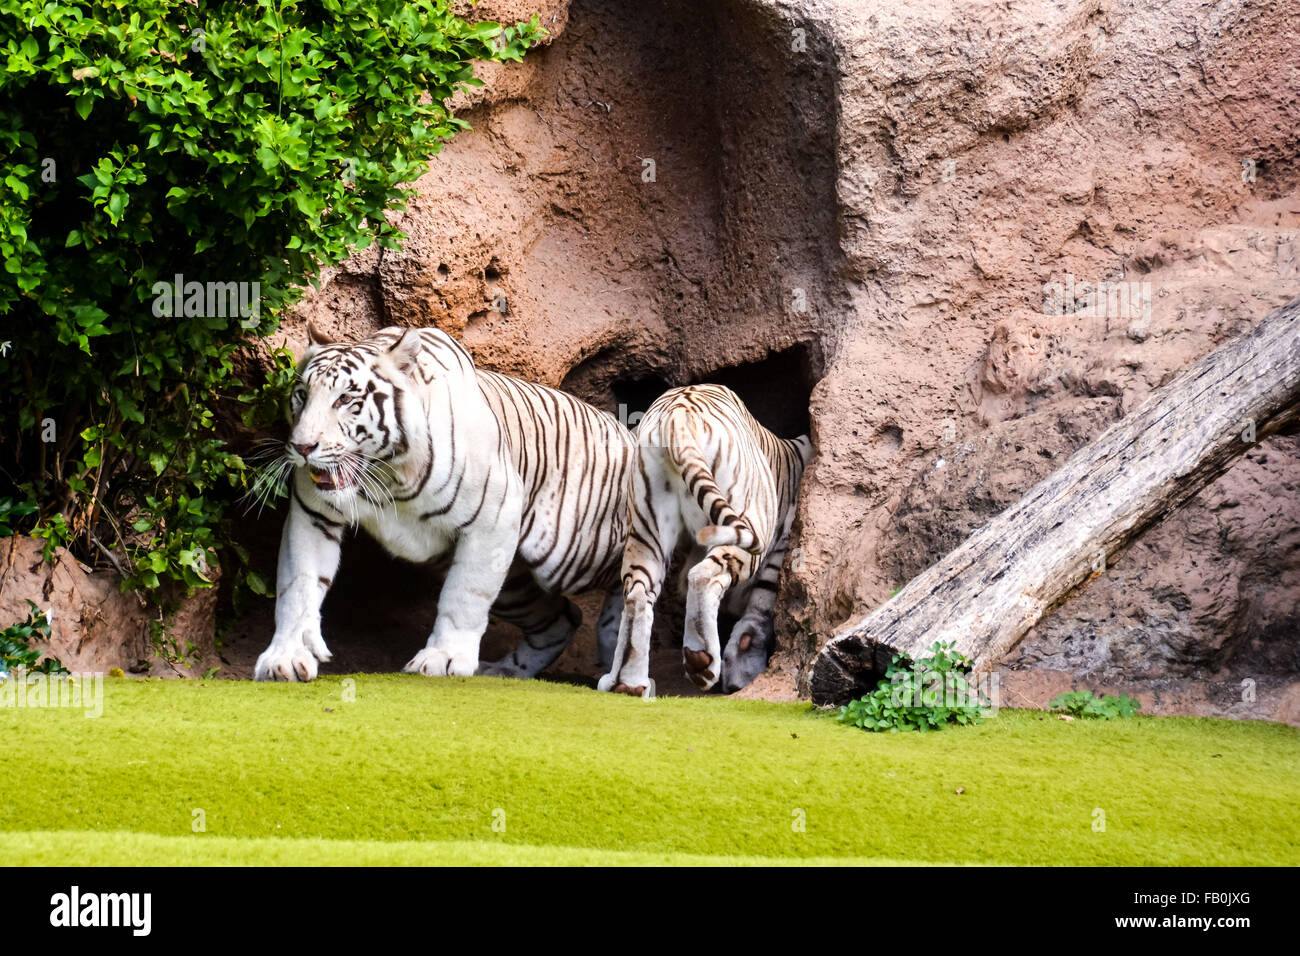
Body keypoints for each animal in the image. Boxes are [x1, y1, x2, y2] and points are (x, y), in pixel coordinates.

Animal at [253, 322, 634, 683]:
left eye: (345, 399)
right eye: (302, 395)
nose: (302, 447)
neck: (386, 474)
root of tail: (624, 432)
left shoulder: (494, 518)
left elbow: (463, 596)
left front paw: (442, 659)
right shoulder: (312, 516)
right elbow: (298, 586)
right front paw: (285, 658)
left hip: (569, 553)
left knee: (625, 568)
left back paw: (616, 640)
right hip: (513, 586)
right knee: (562, 619)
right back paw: (506, 671)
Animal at [598, 383, 812, 698]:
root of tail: (677, 414)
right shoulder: (783, 543)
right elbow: (761, 604)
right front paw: (743, 669)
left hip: (646, 530)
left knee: (637, 594)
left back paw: (628, 683)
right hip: (750, 522)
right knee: (704, 575)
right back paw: (701, 661)